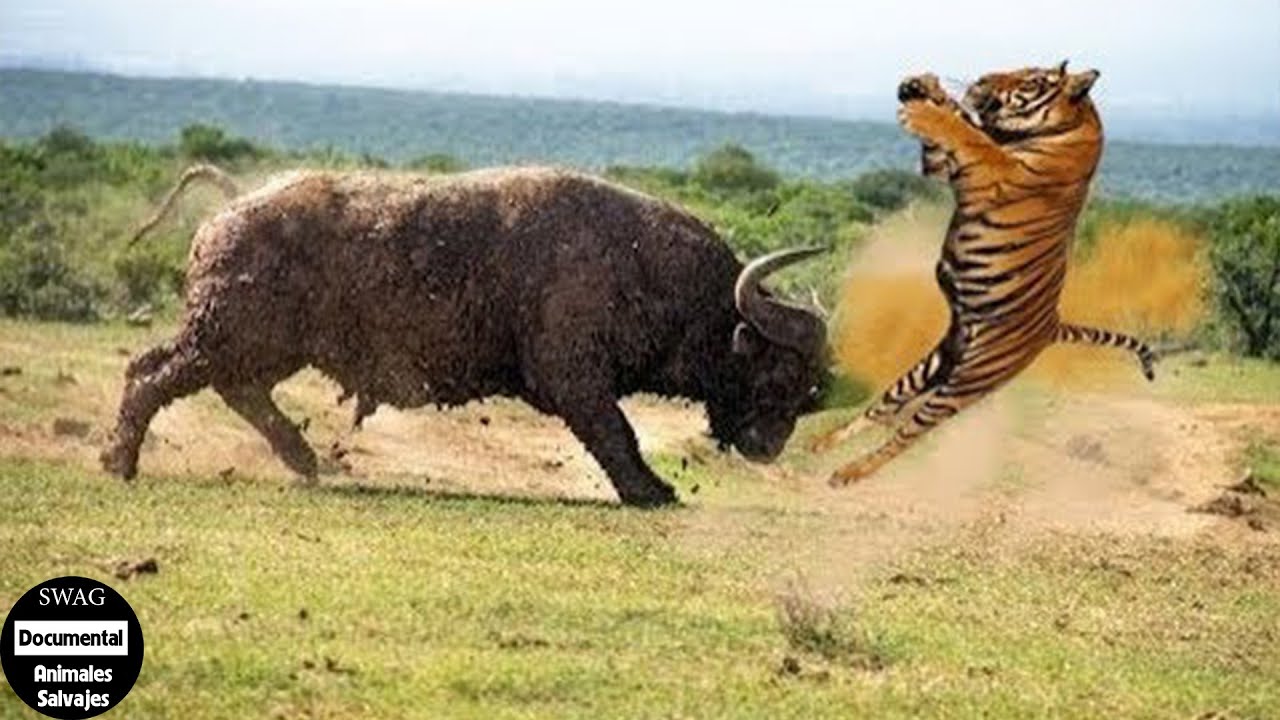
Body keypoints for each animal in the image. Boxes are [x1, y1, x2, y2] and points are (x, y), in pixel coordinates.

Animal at [815, 61, 1157, 485]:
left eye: (1031, 80)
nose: (982, 79)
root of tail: (1052, 325)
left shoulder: (996, 173)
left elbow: (969, 136)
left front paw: (922, 110)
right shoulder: (949, 163)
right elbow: (962, 124)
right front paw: (924, 87)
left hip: (968, 381)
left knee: (907, 434)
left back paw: (851, 471)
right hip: (937, 362)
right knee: (882, 407)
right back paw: (825, 443)